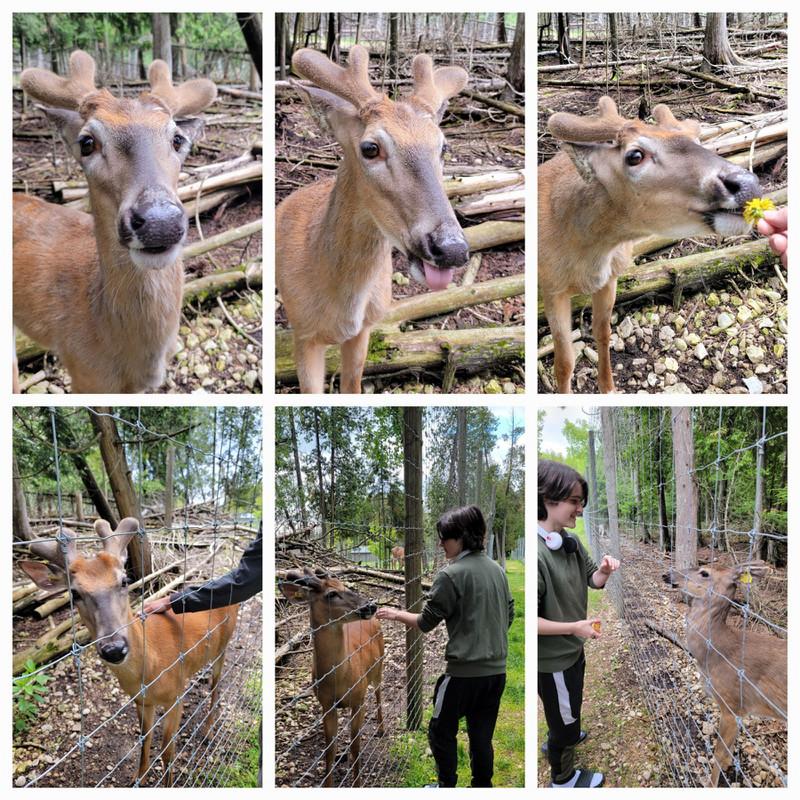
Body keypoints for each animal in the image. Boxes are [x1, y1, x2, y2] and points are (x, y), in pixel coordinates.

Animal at [19, 518, 239, 786]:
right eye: (74, 593)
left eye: (124, 580)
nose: (114, 648)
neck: (151, 670)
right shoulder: (140, 700)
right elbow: (144, 738)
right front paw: (139, 776)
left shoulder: (176, 694)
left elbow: (167, 751)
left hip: (223, 645)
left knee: (216, 685)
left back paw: (208, 731)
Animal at [279, 567, 384, 787]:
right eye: (331, 594)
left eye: (345, 586)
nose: (370, 605)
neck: (339, 678)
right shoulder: (326, 704)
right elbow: (329, 750)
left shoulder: (359, 699)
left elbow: (355, 746)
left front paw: (357, 783)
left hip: (379, 665)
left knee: (379, 692)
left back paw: (381, 729)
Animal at [538, 96, 762, 393]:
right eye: (635, 156)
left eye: (698, 141)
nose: (747, 184)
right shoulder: (551, 287)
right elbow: (564, 362)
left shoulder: (611, 276)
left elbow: (603, 333)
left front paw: (609, 388)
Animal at [665, 560, 787, 787]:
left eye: (704, 573)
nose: (667, 575)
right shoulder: (741, 711)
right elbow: (729, 750)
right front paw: (728, 767)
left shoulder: (732, 703)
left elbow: (720, 752)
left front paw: (710, 783)